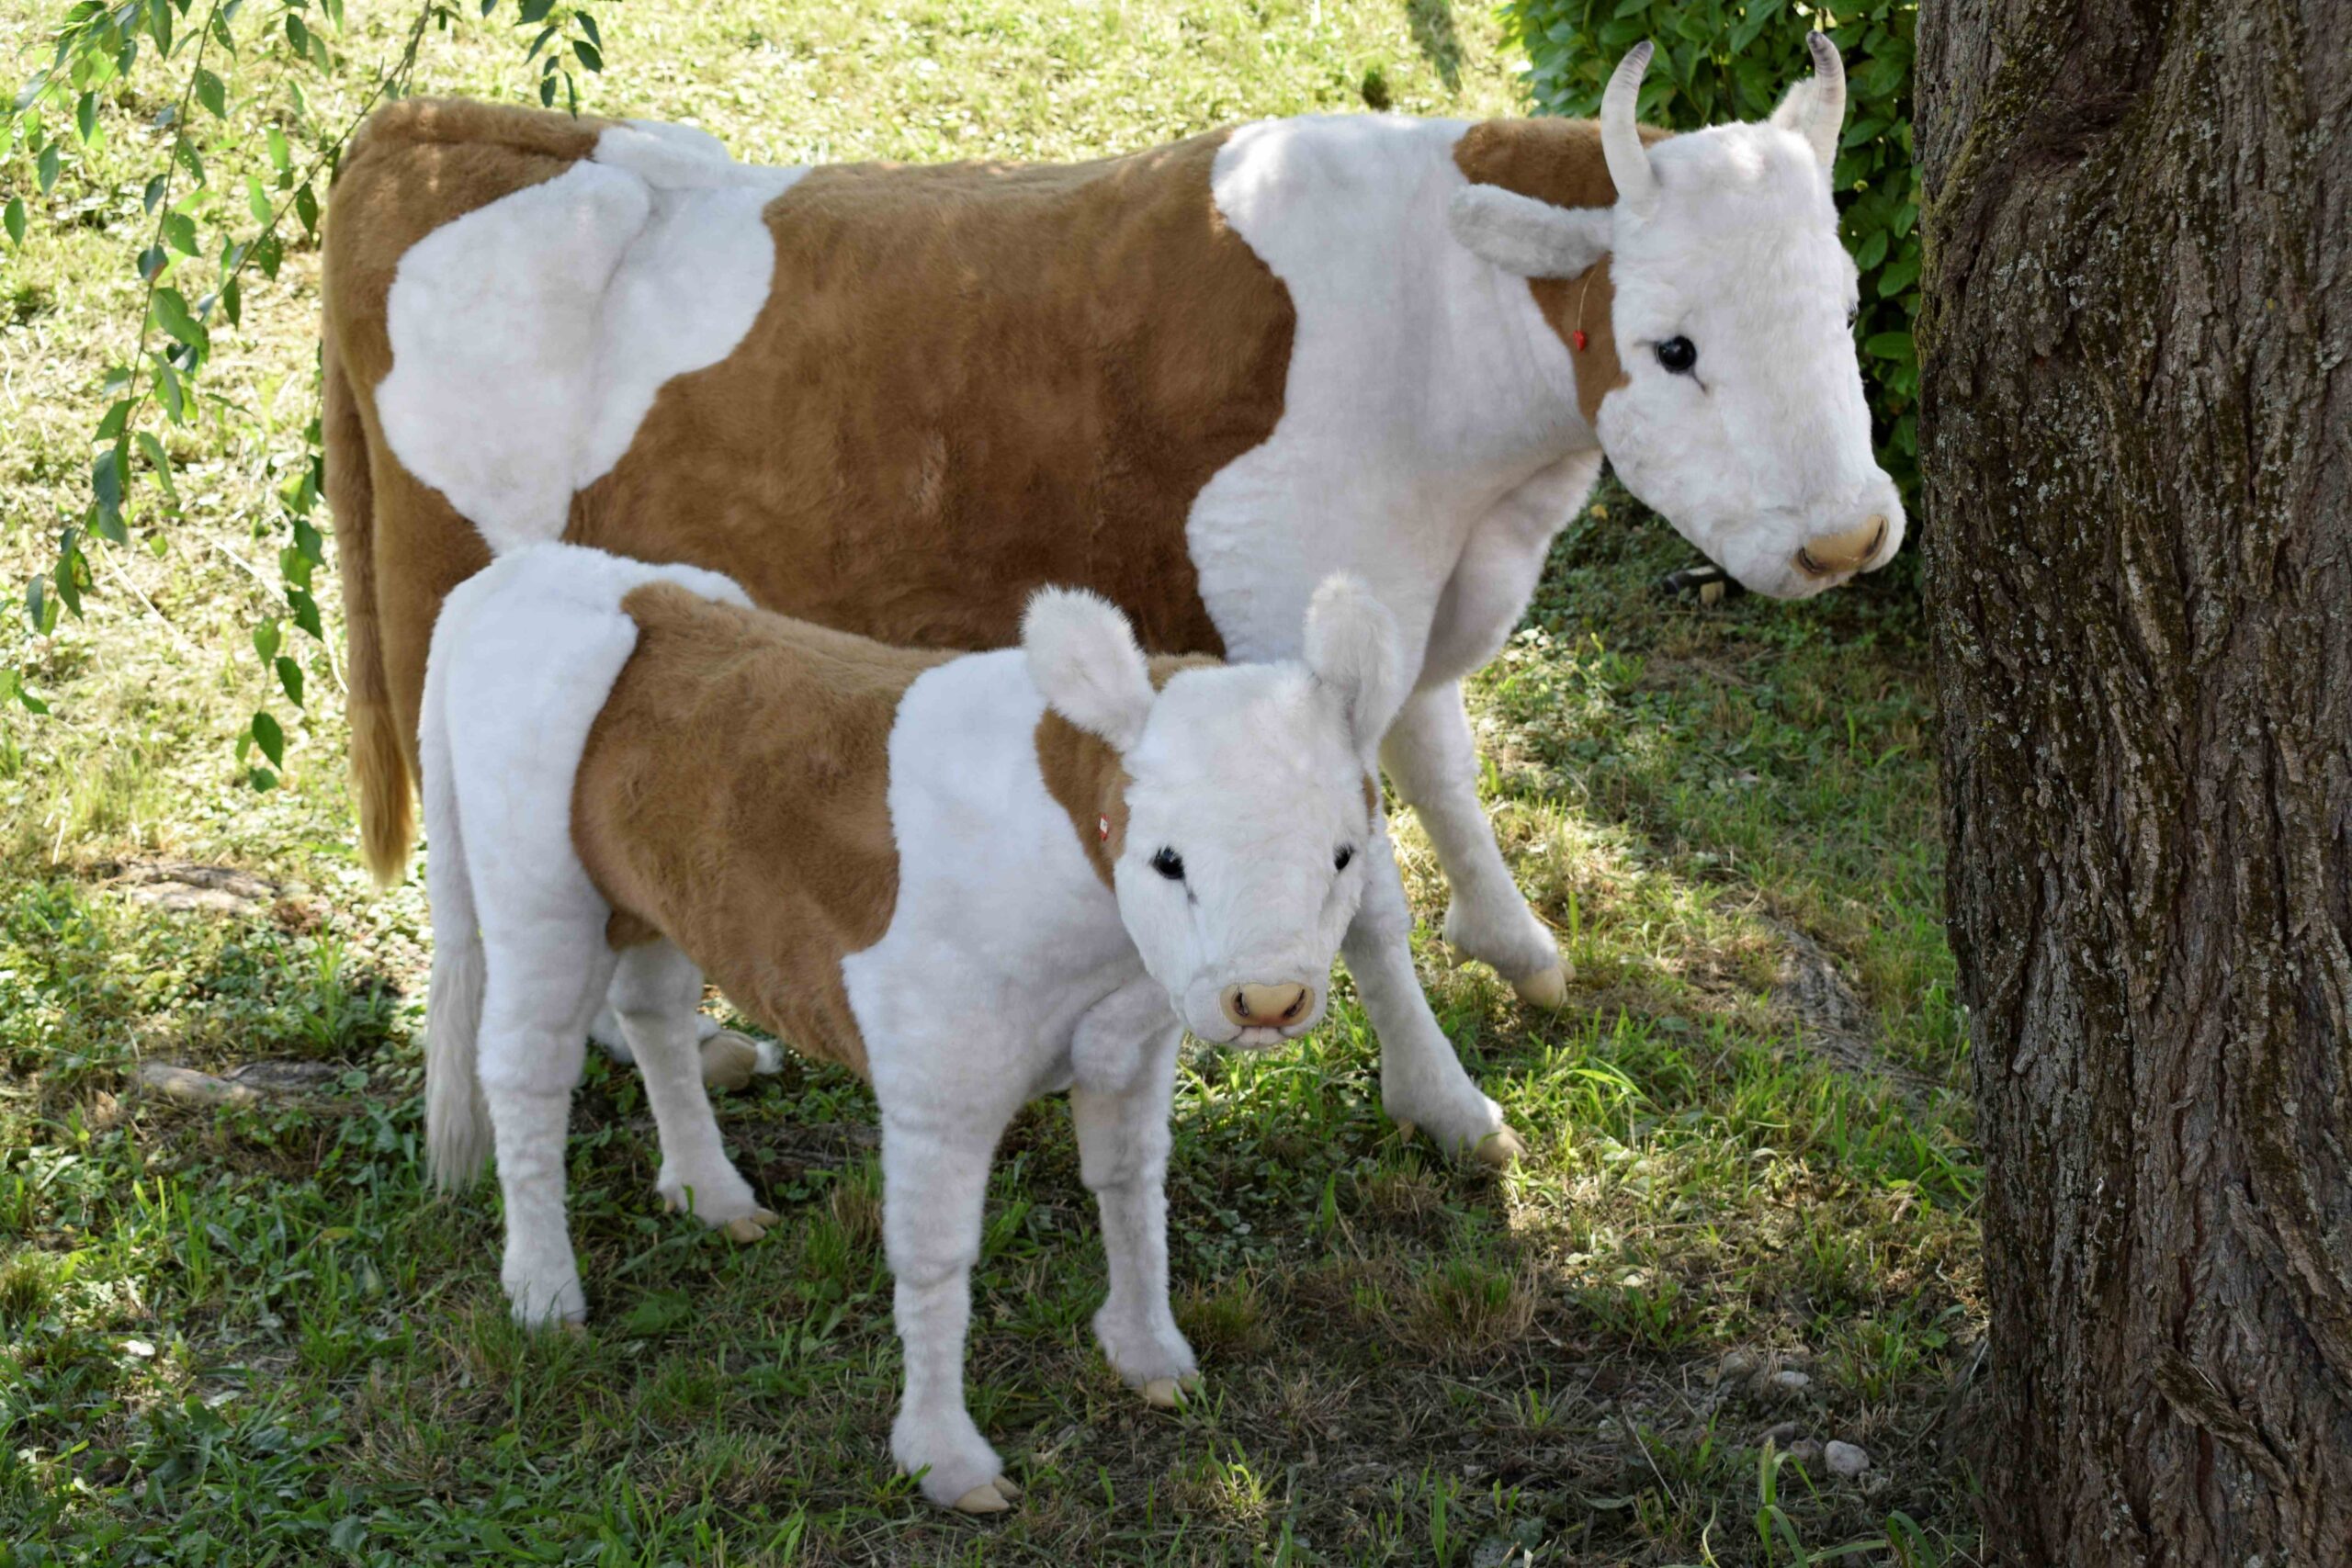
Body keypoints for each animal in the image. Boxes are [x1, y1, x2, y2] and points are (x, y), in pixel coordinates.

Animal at [324, 36, 1902, 1165]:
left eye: (1842, 307)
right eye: (1672, 345)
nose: (1850, 536)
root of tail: (434, 129)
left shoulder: (1401, 610)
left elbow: (1448, 770)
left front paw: (1520, 947)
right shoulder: (1288, 614)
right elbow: (1370, 893)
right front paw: (1445, 1103)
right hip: (459, 615)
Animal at [421, 541, 1404, 1510]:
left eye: (1343, 853)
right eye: (1169, 860)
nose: (1266, 1000)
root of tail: (514, 572)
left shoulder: (1130, 1047)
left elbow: (1131, 1187)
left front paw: (1148, 1354)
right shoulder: (938, 1083)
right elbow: (934, 1257)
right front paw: (944, 1460)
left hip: (656, 891)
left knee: (653, 1010)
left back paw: (713, 1194)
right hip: (536, 895)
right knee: (524, 1070)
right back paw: (543, 1291)